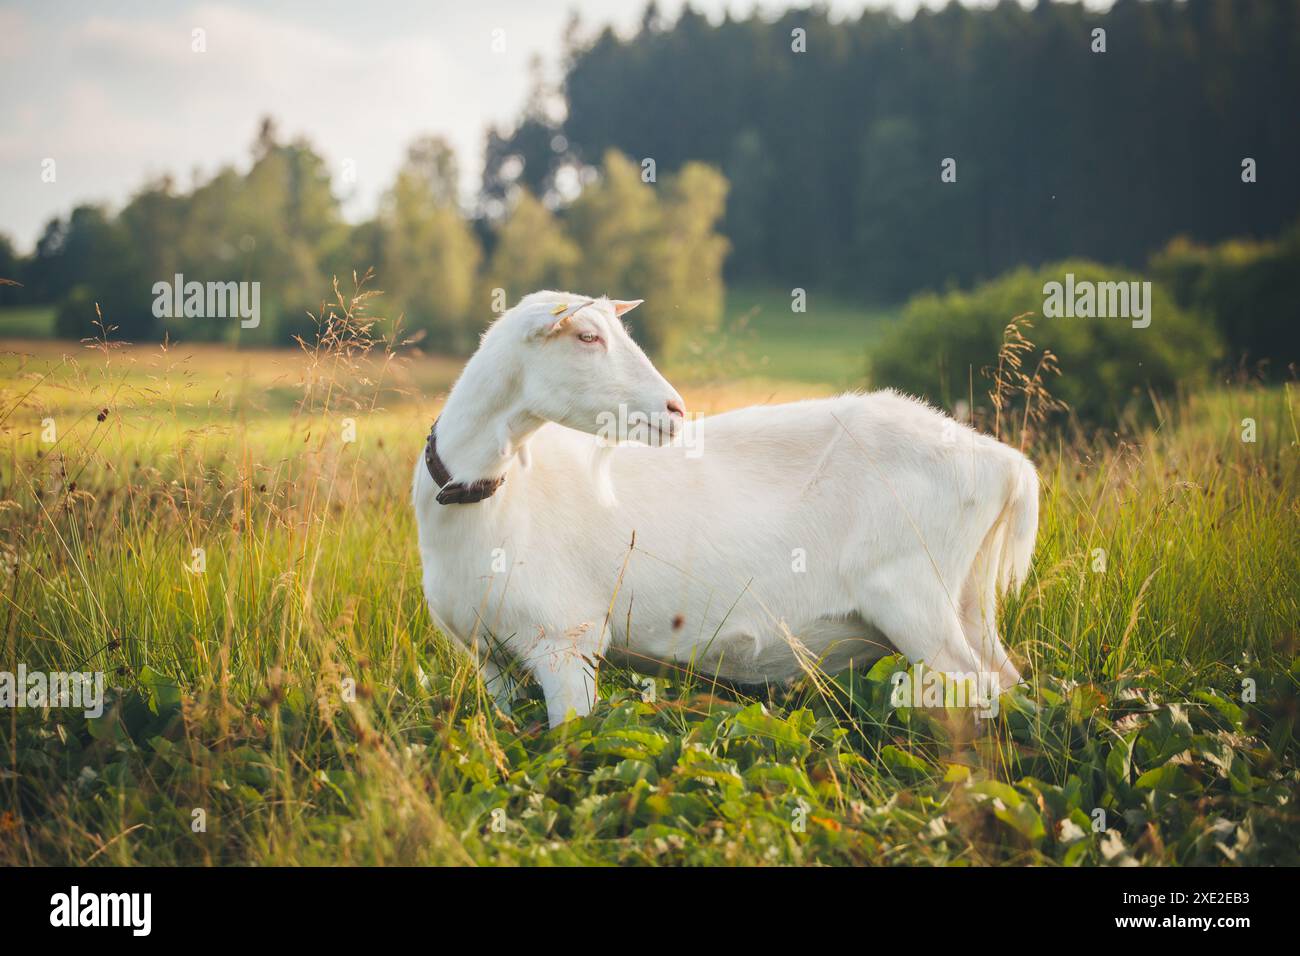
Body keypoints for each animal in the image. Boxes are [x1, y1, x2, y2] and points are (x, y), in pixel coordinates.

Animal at [413, 291, 1038, 727]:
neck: (497, 494)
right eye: (587, 336)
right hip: (966, 597)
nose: (674, 408)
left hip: (914, 594)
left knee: (975, 688)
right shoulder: (488, 659)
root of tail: (1003, 461)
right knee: (1007, 680)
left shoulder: (567, 639)